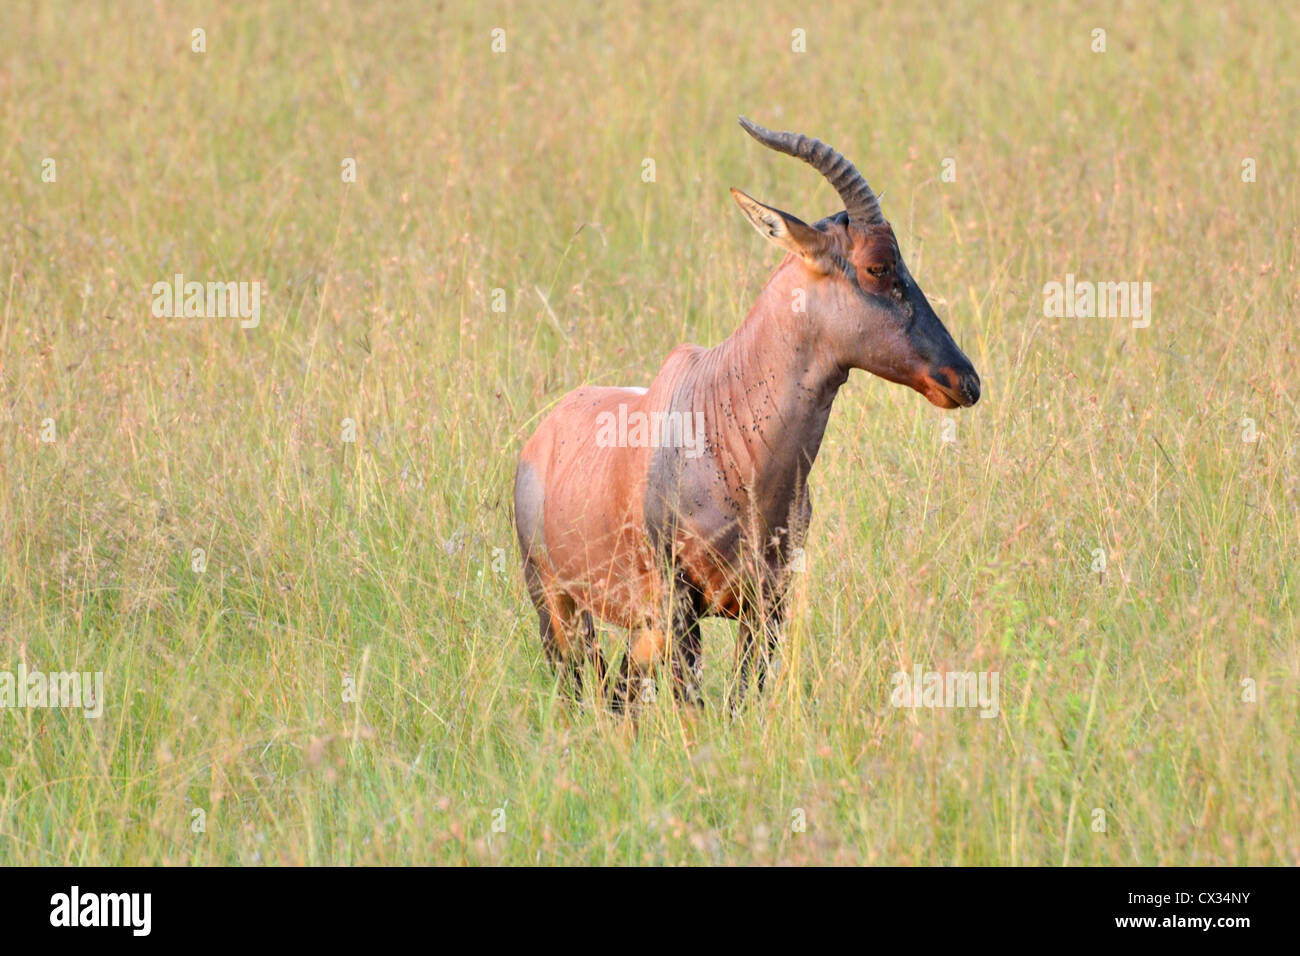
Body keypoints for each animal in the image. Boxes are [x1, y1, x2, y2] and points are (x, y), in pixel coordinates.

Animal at [514, 118, 980, 713]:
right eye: (877, 266)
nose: (965, 381)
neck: (725, 419)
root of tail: (543, 433)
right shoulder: (680, 604)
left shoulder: (770, 600)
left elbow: (742, 700)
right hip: (557, 607)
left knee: (618, 692)